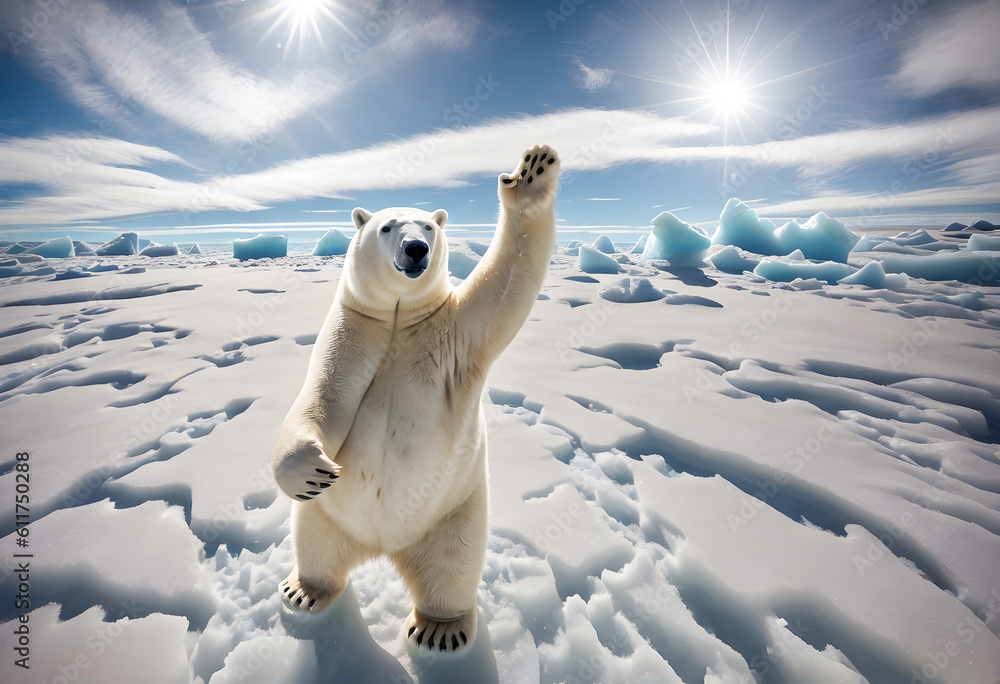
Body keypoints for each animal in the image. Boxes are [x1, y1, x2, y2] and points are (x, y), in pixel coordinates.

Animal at [270, 144, 560, 653]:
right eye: (387, 227)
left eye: (428, 226)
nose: (416, 249)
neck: (398, 320)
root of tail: (381, 546)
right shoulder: (351, 335)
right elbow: (322, 399)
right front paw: (310, 470)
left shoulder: (455, 333)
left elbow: (504, 288)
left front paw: (532, 174)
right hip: (327, 517)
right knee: (316, 545)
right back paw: (303, 590)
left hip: (453, 514)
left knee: (450, 570)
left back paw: (439, 629)